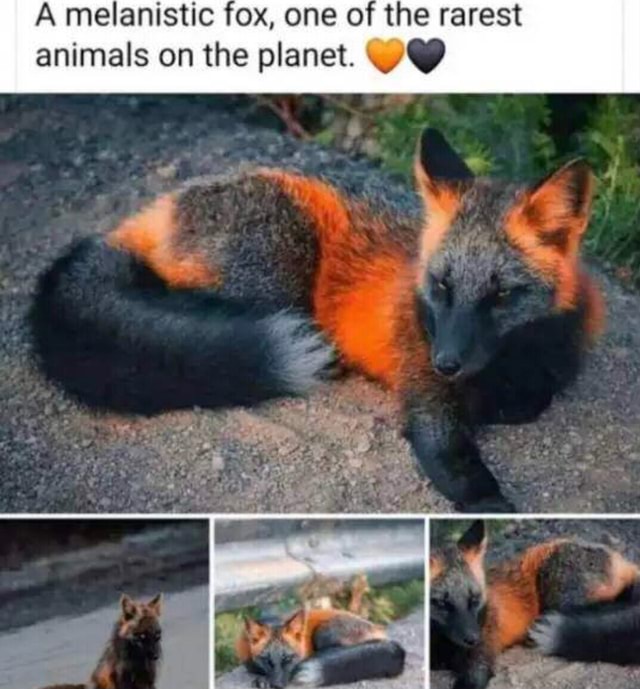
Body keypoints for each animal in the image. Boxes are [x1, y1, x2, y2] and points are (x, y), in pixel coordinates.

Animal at [30, 127, 604, 512]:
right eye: (442, 286)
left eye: (501, 294)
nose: (446, 362)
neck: (512, 361)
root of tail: (161, 206)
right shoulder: (423, 386)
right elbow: (452, 456)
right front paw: (487, 507)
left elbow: (533, 398)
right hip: (278, 270)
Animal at [430, 521, 640, 688]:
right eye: (442, 603)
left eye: (474, 599)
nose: (473, 638)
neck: (442, 646)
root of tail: (619, 558)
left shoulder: (481, 656)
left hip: (562, 595)